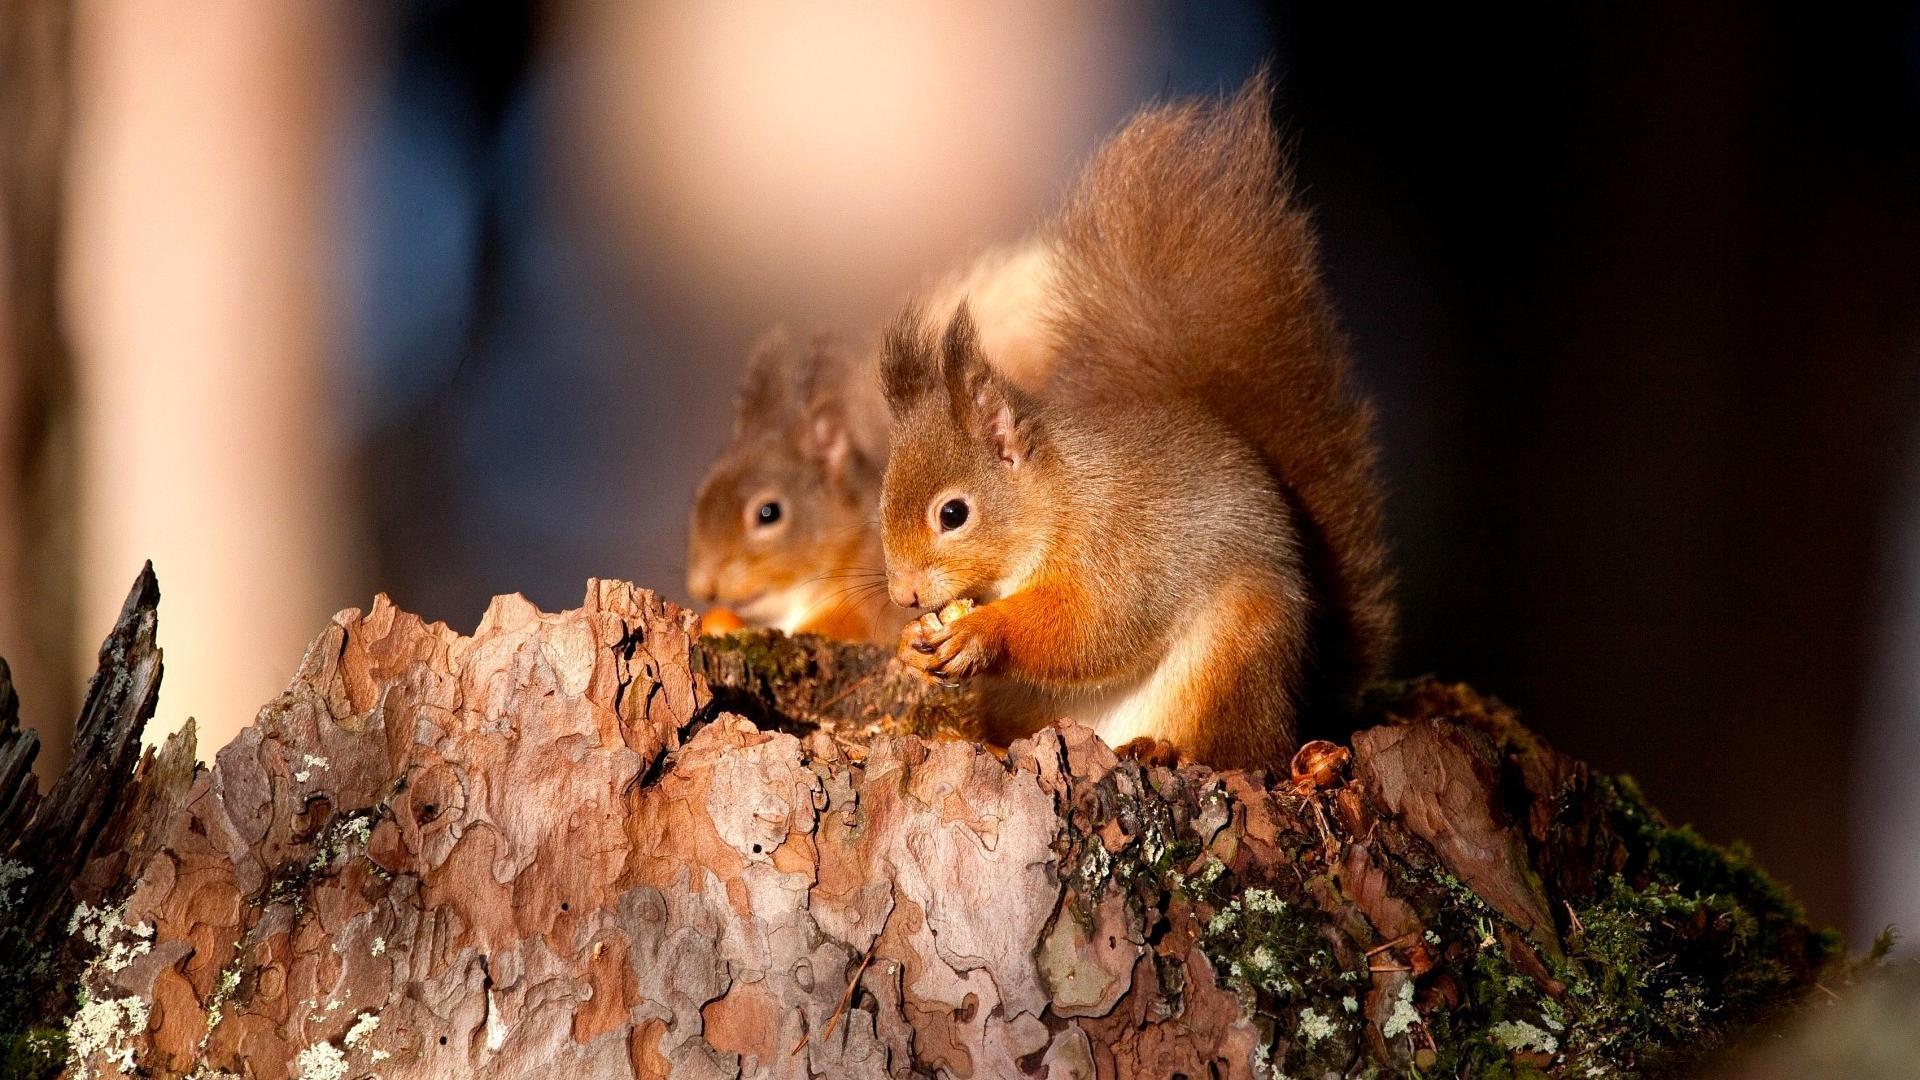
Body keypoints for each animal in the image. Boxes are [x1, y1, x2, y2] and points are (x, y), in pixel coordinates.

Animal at [878, 74, 1394, 770]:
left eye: (953, 514)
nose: (903, 595)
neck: (1060, 497)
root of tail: (1297, 710)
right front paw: (910, 645)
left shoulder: (1122, 547)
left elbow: (1093, 625)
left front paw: (983, 632)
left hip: (1235, 656)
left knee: (1235, 751)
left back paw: (1164, 749)